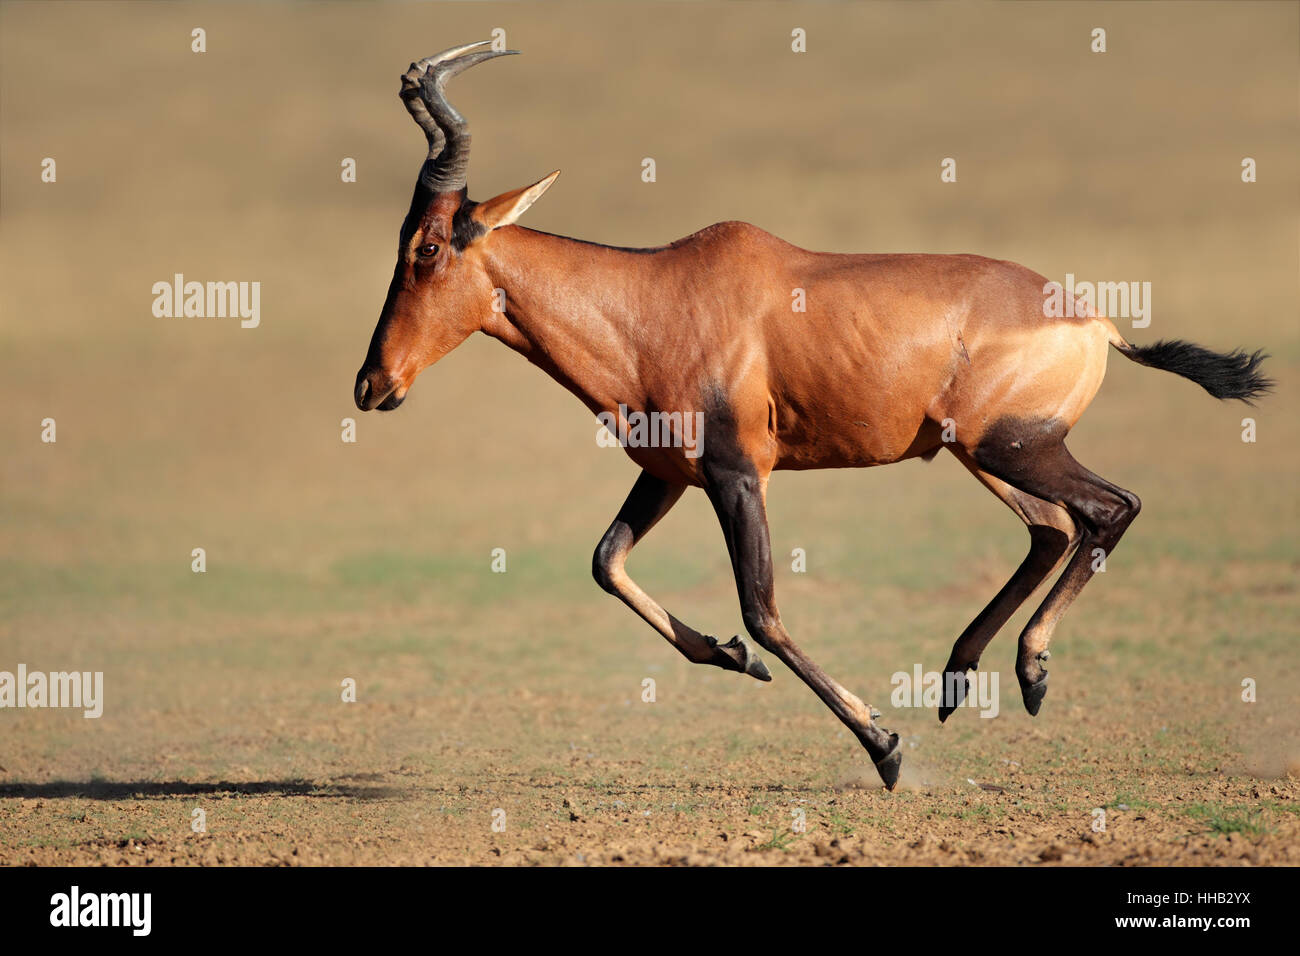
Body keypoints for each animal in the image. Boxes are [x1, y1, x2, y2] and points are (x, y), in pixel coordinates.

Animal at [354, 42, 1272, 789]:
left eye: (426, 247)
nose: (371, 385)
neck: (657, 295)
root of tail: (1093, 320)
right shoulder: (669, 473)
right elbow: (606, 563)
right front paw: (730, 659)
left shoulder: (737, 476)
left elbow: (763, 608)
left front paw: (885, 748)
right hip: (982, 454)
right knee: (1051, 527)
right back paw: (958, 675)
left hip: (1014, 448)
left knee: (1110, 508)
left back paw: (1029, 671)